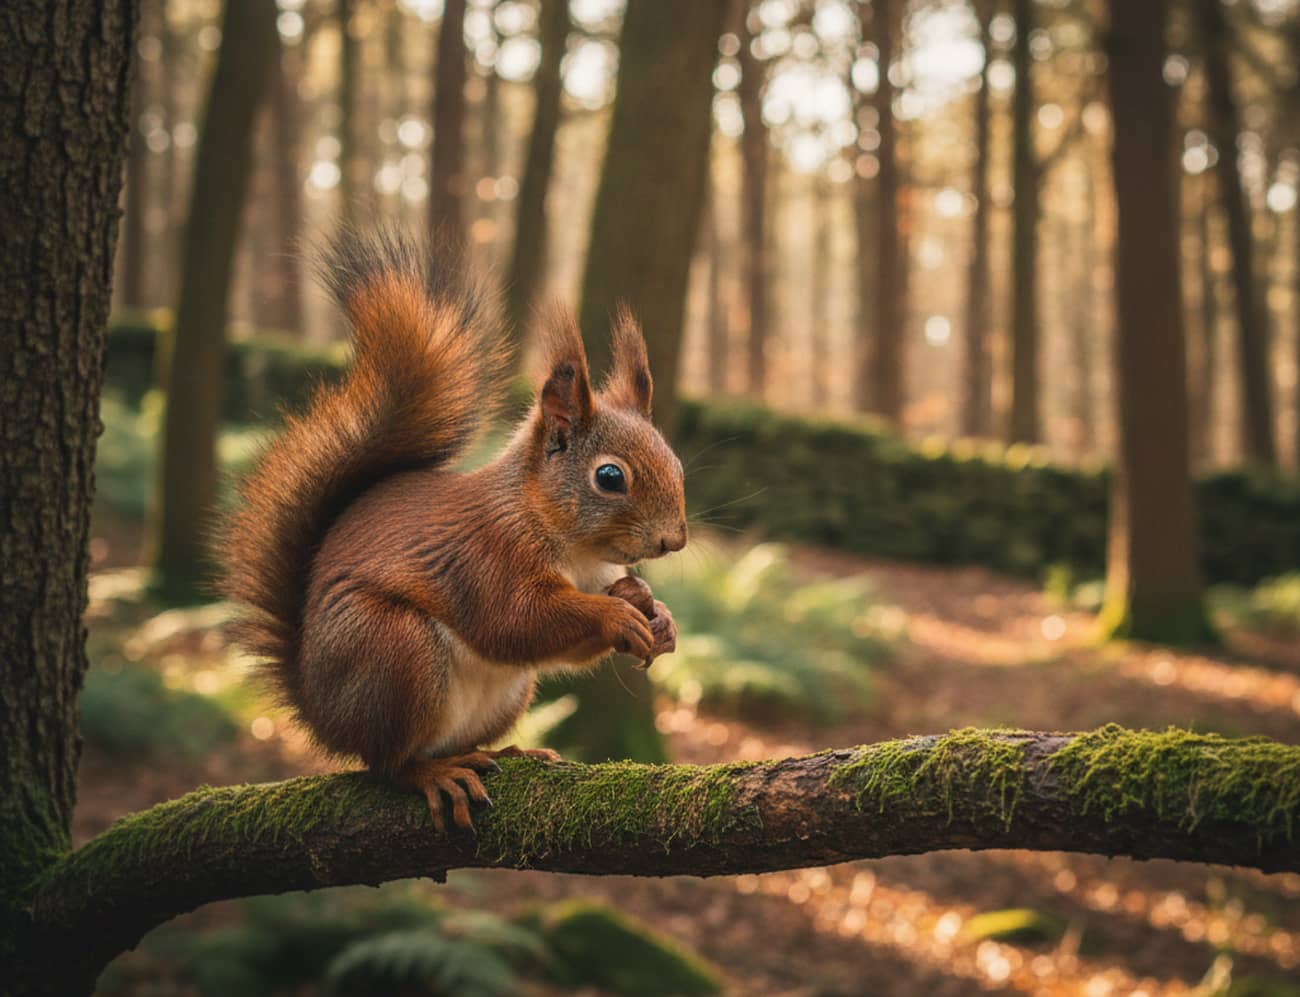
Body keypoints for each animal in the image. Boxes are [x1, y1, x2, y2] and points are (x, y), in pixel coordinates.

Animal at [219, 230, 686, 831]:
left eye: (677, 464)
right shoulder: (486, 556)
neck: (572, 546)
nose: (674, 540)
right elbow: (516, 620)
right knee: (388, 763)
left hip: (504, 693)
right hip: (392, 651)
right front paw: (615, 616)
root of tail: (321, 713)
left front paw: (655, 613)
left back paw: (508, 750)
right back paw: (433, 773)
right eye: (610, 477)